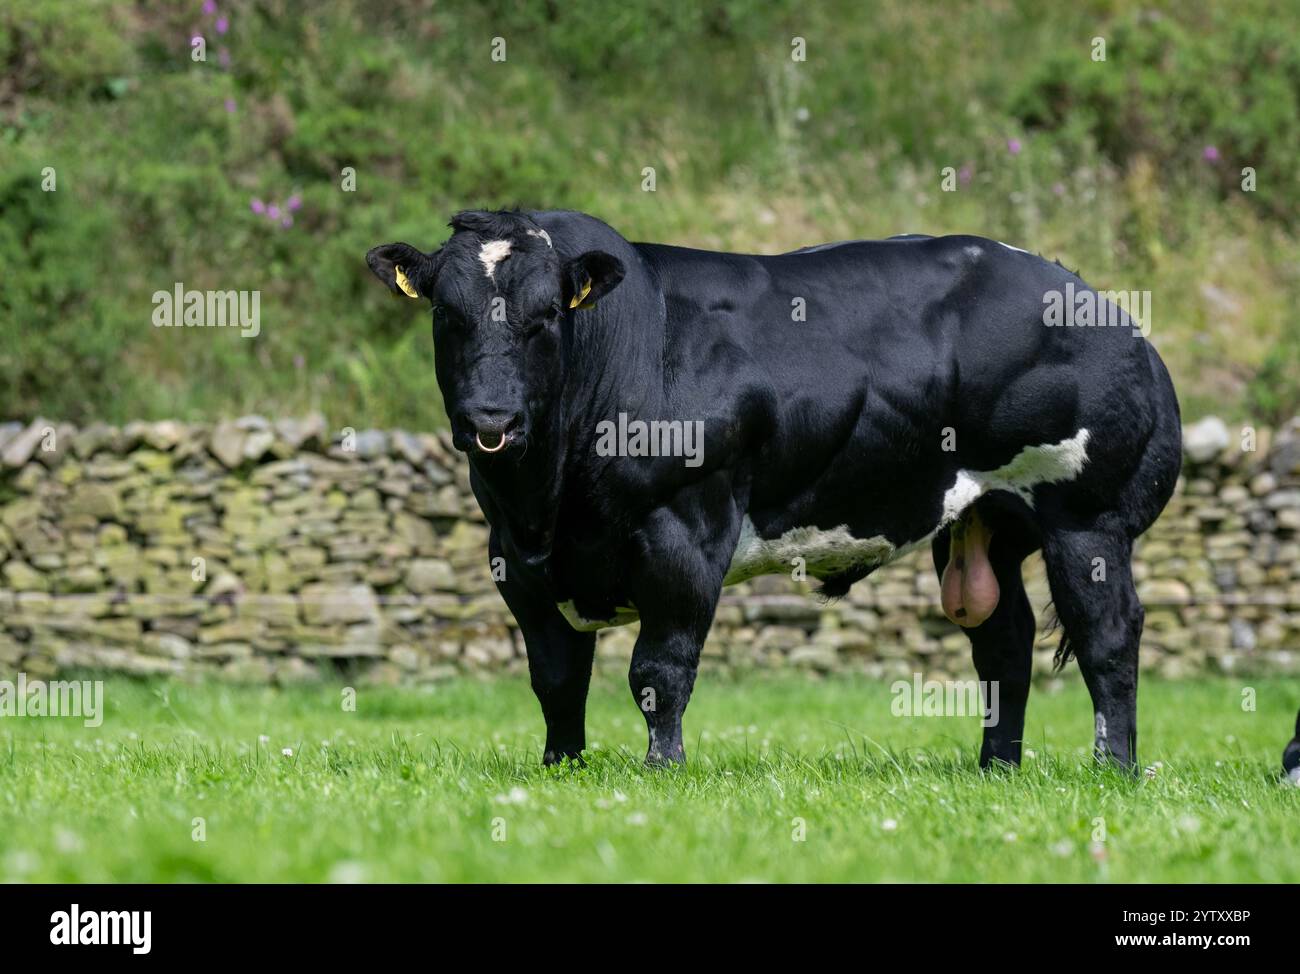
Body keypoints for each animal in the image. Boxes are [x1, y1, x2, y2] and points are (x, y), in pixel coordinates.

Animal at [366, 208, 1182, 771]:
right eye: (448, 315)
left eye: (543, 319)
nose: (491, 419)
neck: (549, 499)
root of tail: (1100, 304)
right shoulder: (516, 559)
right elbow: (557, 678)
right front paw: (559, 768)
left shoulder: (686, 530)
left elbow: (659, 671)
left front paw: (662, 769)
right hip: (983, 520)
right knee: (1003, 641)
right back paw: (998, 769)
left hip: (1088, 515)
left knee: (1109, 635)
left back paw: (1113, 768)